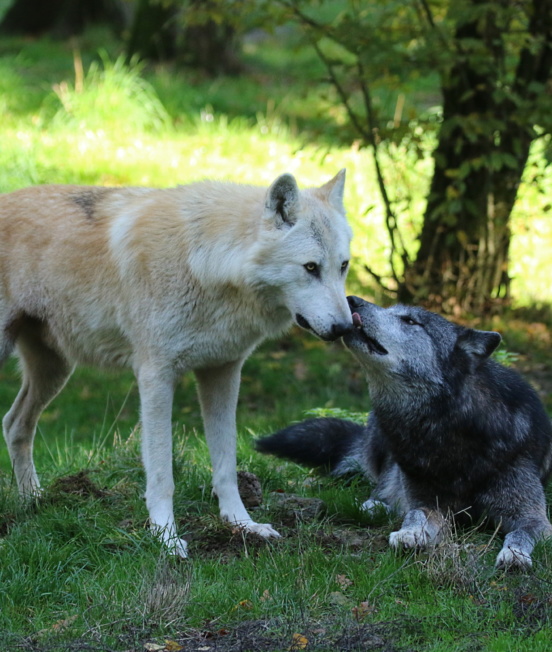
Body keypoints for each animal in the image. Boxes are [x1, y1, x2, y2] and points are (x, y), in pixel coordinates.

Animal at [0, 171, 353, 557]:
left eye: (343, 266)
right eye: (310, 267)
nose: (345, 328)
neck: (205, 261)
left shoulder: (224, 373)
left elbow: (226, 464)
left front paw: (242, 525)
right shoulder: (156, 377)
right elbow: (161, 473)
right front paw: (166, 538)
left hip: (54, 372)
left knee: (14, 423)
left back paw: (33, 501)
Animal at [256, 296, 552, 569]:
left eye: (410, 320)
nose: (352, 300)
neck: (445, 428)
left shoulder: (533, 517)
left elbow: (520, 533)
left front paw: (514, 555)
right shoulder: (429, 504)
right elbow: (415, 514)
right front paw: (410, 534)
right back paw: (377, 506)